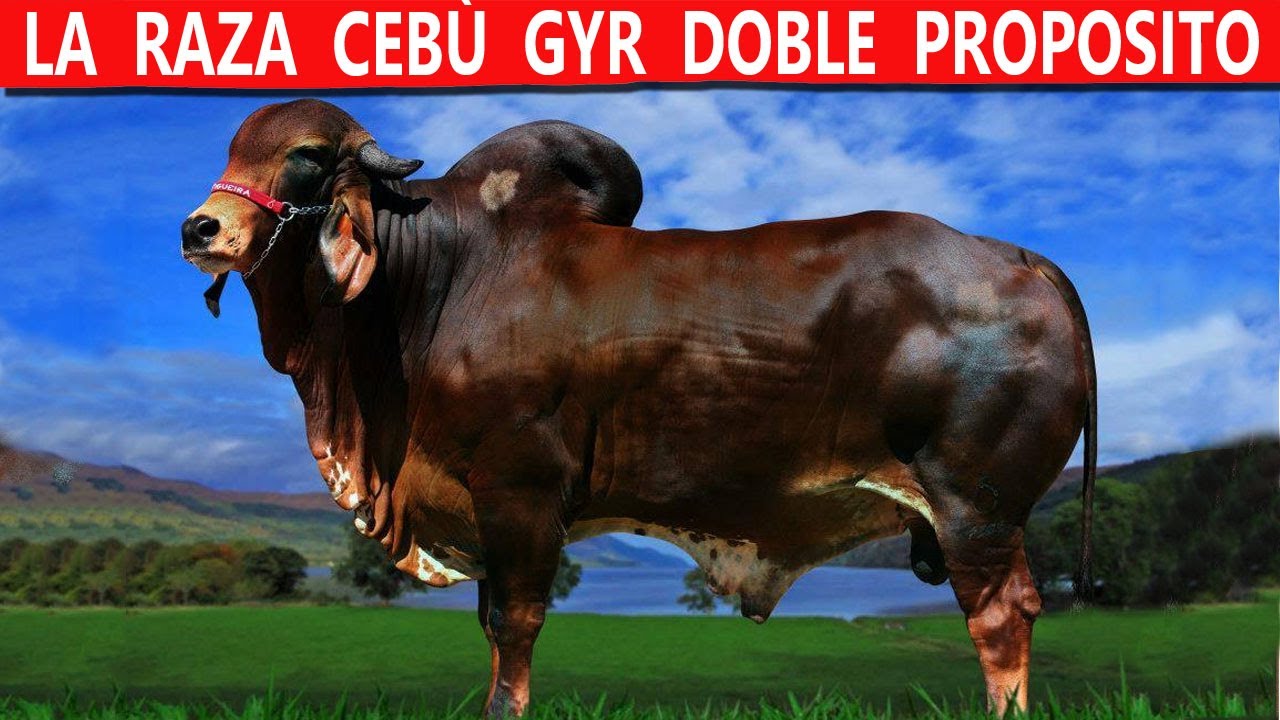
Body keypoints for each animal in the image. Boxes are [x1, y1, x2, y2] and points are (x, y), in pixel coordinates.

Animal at [181, 99, 1097, 718]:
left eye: (304, 155)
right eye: (230, 146)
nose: (200, 228)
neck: (435, 281)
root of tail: (1017, 255)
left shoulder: (520, 492)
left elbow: (514, 627)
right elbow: (488, 631)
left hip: (974, 505)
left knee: (999, 619)